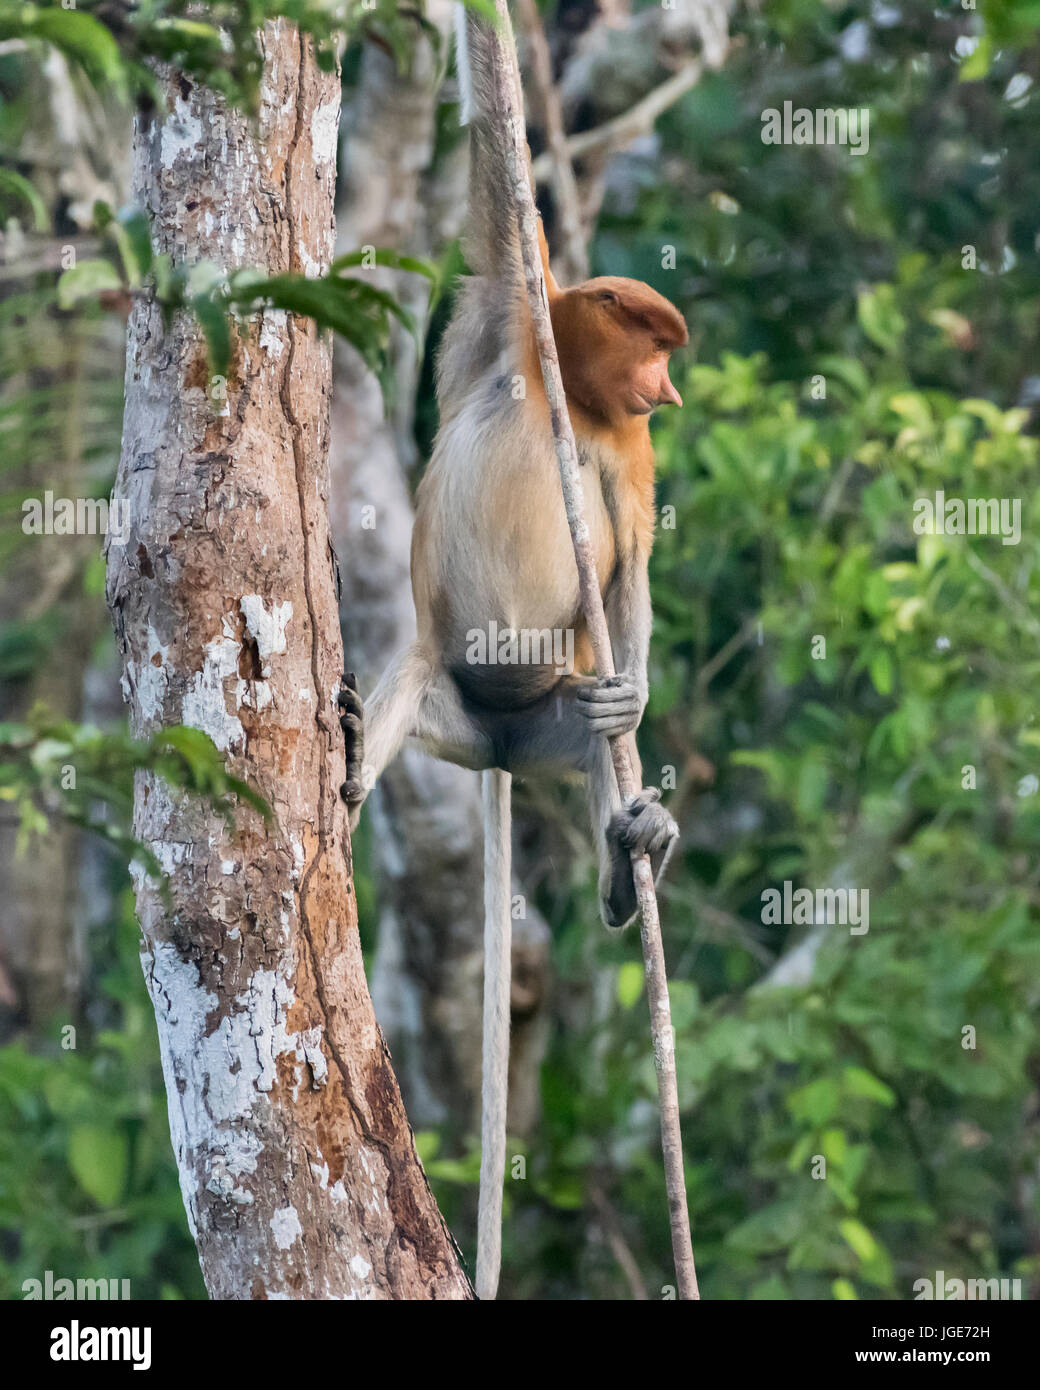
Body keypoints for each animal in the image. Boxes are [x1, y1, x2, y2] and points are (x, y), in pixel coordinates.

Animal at [337, 7, 687, 1299]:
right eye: (647, 337)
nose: (665, 388)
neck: (573, 401)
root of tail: (488, 749)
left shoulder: (630, 456)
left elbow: (628, 571)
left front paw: (633, 706)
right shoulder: (507, 308)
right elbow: (496, 162)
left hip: (534, 714)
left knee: (585, 739)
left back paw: (627, 865)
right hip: (452, 694)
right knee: (402, 688)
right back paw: (346, 779)